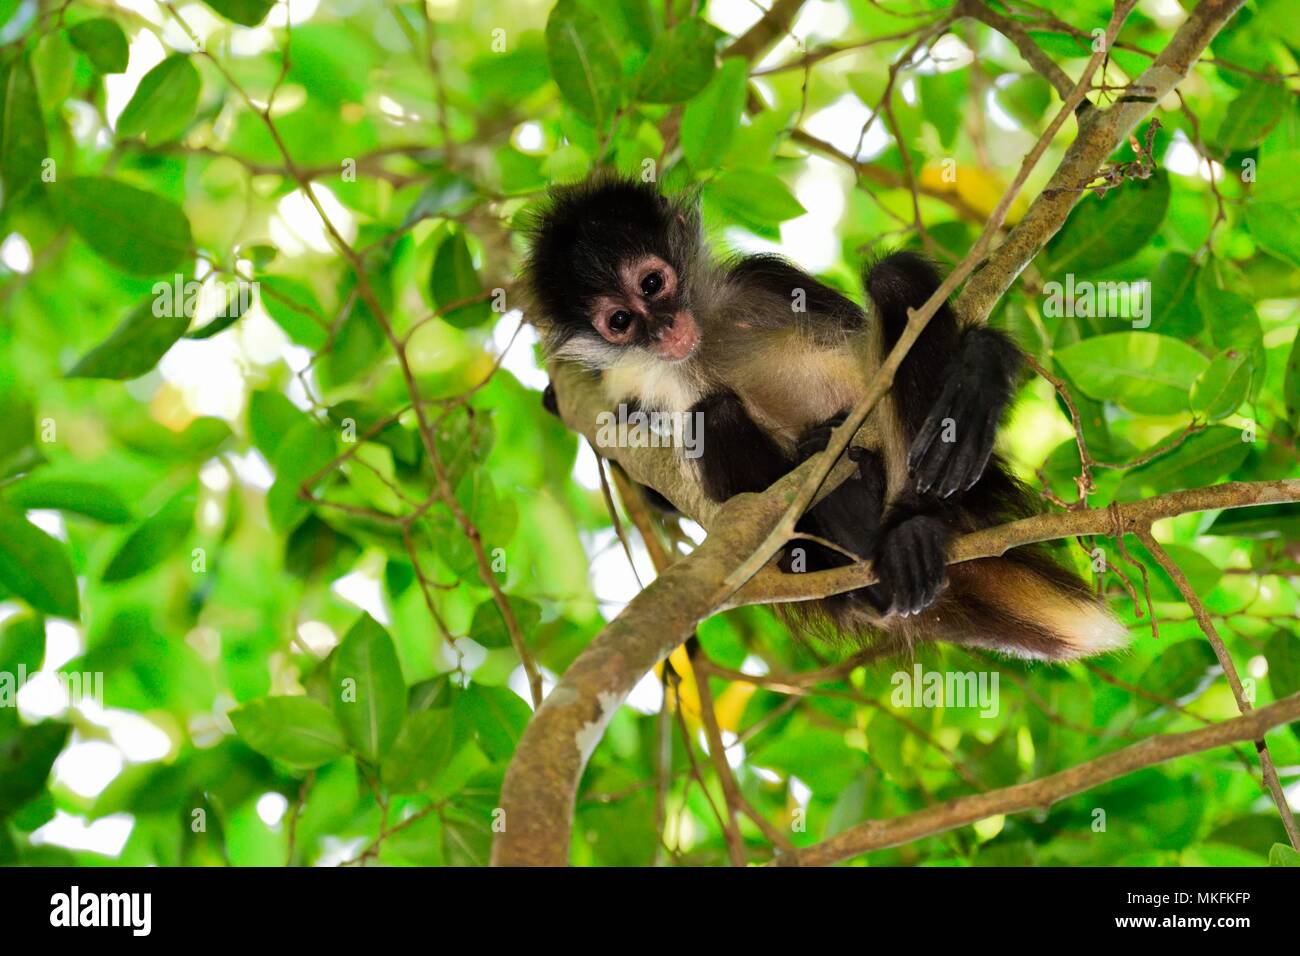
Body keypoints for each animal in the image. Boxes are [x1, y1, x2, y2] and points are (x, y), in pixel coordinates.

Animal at [523, 175, 1127, 662]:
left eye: (652, 284)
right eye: (620, 322)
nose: (664, 329)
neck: (703, 344)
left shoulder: (760, 277)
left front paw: (983, 367)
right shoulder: (647, 386)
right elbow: (661, 488)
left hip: (971, 487)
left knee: (893, 280)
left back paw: (918, 521)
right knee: (712, 416)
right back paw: (856, 534)